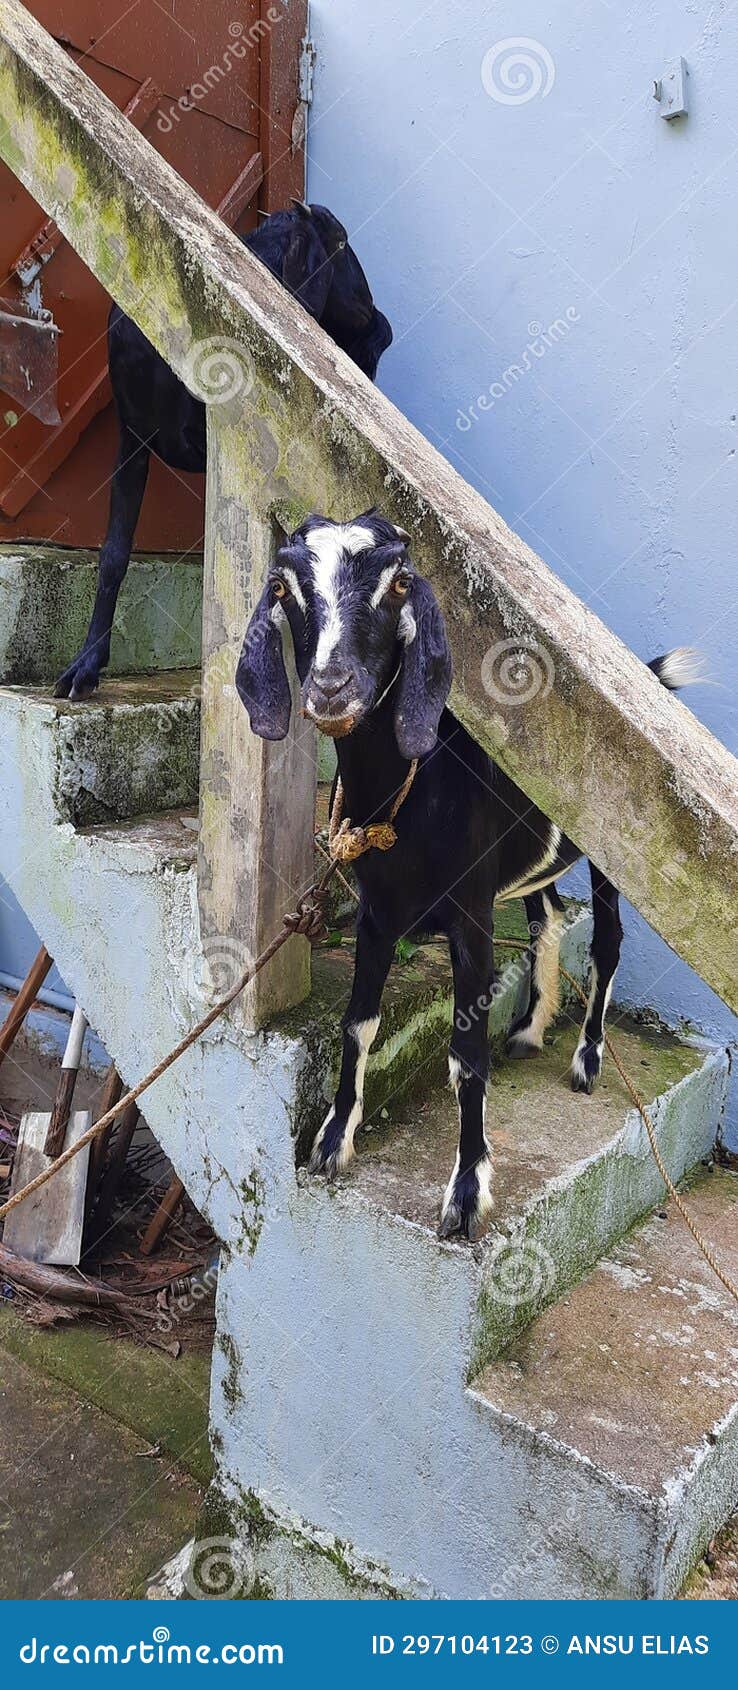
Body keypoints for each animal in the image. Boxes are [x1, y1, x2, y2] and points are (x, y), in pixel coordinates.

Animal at [236, 511, 697, 1240]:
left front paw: (466, 1192)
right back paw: (532, 1029)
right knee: (548, 918)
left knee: (606, 941)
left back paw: (587, 1058)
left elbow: (464, 1053)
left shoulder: (471, 919)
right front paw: (333, 1141)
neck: (408, 792)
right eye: (285, 588)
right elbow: (357, 1025)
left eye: (399, 584)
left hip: (609, 860)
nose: (331, 688)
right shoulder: (376, 913)